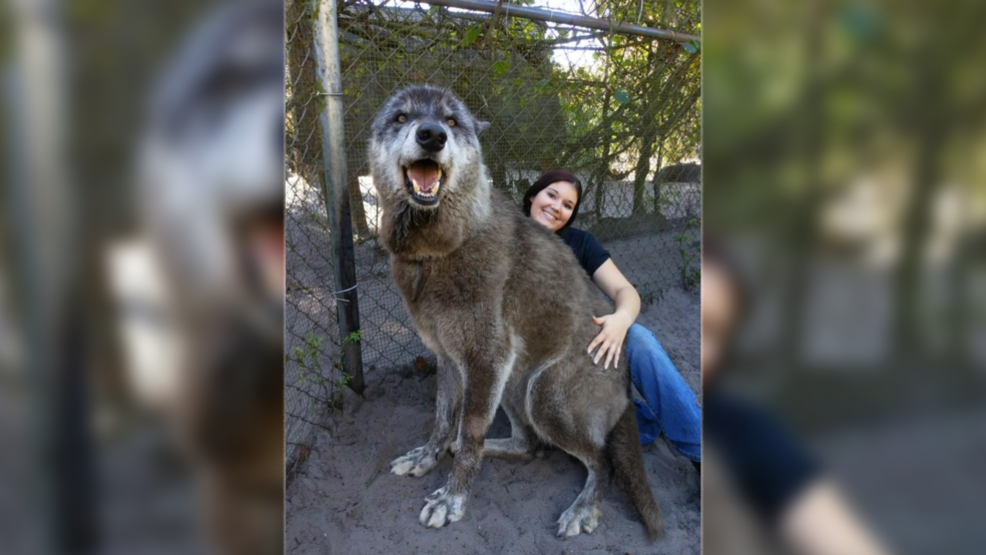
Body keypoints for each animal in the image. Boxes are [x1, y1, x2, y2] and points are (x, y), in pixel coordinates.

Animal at [369, 85, 665, 538]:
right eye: (401, 117)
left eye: (452, 121)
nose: (432, 135)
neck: (437, 251)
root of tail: (626, 386)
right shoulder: (450, 359)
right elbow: (443, 419)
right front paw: (427, 457)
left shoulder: (485, 359)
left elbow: (468, 432)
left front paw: (452, 500)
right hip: (512, 383)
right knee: (529, 446)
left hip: (542, 394)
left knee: (603, 462)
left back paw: (583, 508)